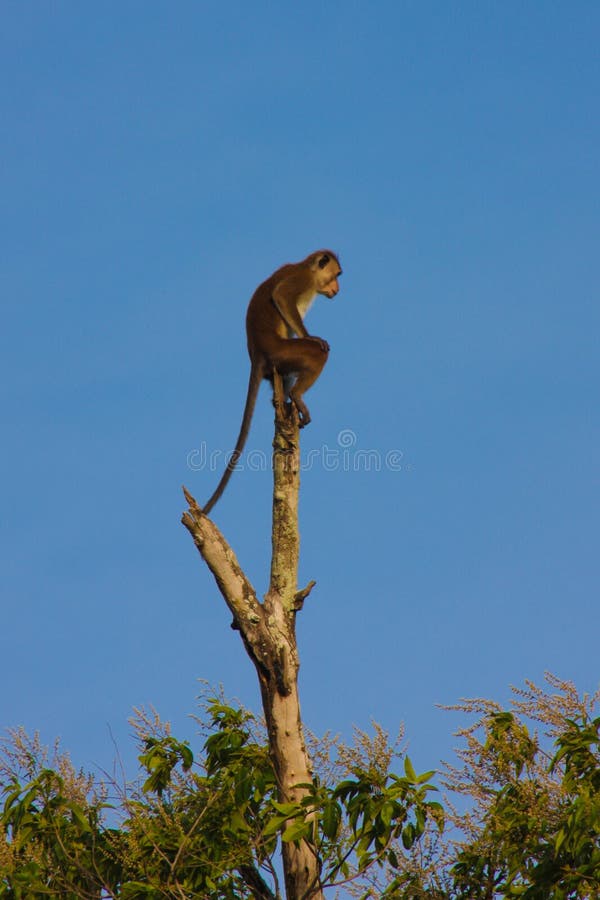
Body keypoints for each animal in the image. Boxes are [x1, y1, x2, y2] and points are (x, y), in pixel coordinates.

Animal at [203, 249, 342, 514]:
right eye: (336, 275)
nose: (338, 288)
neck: (309, 270)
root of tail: (257, 354)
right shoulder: (302, 280)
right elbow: (281, 295)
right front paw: (311, 336)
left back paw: (286, 401)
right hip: (282, 352)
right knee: (318, 355)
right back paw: (296, 395)